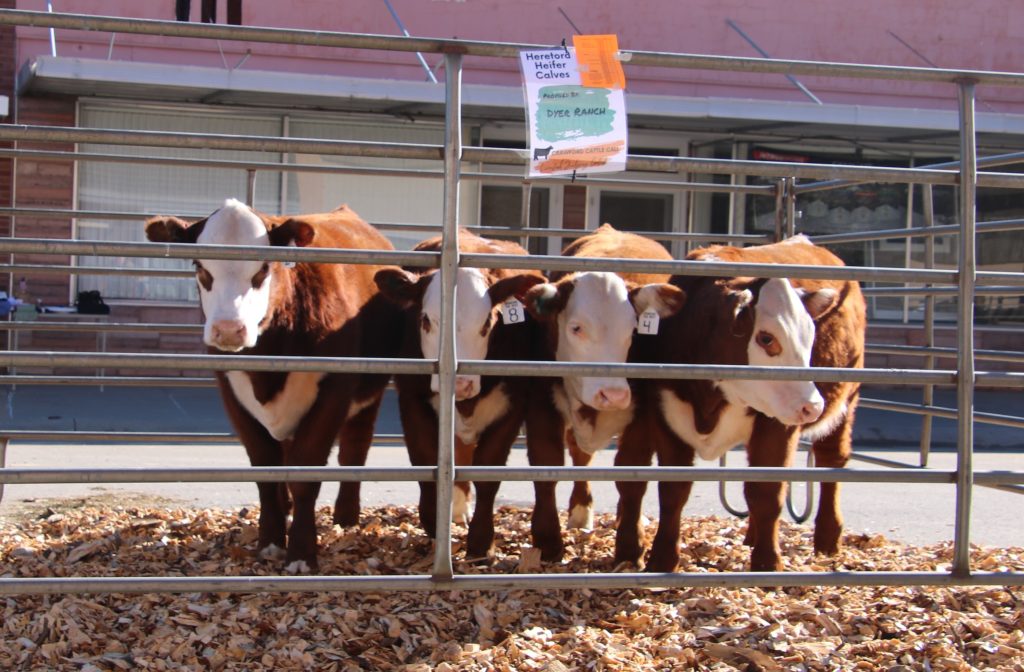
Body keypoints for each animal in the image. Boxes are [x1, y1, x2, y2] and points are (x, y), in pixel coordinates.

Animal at [144, 198, 402, 573]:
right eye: (200, 267)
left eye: (263, 269)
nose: (228, 329)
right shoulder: (232, 393)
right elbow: (265, 465)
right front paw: (270, 541)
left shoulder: (334, 393)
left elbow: (306, 470)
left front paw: (301, 554)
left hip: (369, 394)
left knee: (354, 447)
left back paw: (346, 516)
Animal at [374, 230, 546, 559]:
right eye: (426, 320)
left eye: (488, 322)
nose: (462, 383)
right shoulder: (411, 400)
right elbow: (425, 460)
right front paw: (434, 525)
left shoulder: (513, 407)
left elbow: (488, 473)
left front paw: (481, 543)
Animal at [521, 224, 685, 561]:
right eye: (576, 328)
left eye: (633, 329)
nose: (614, 395)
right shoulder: (541, 400)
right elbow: (546, 463)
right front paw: (548, 540)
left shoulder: (643, 414)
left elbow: (631, 474)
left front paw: (629, 545)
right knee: (580, 454)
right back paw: (580, 512)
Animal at [614, 234, 866, 572]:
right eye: (766, 338)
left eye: (810, 335)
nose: (812, 406)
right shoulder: (666, 416)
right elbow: (673, 490)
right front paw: (662, 560)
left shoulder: (776, 425)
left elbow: (767, 492)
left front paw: (767, 563)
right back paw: (752, 536)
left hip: (847, 401)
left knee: (831, 460)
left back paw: (827, 538)